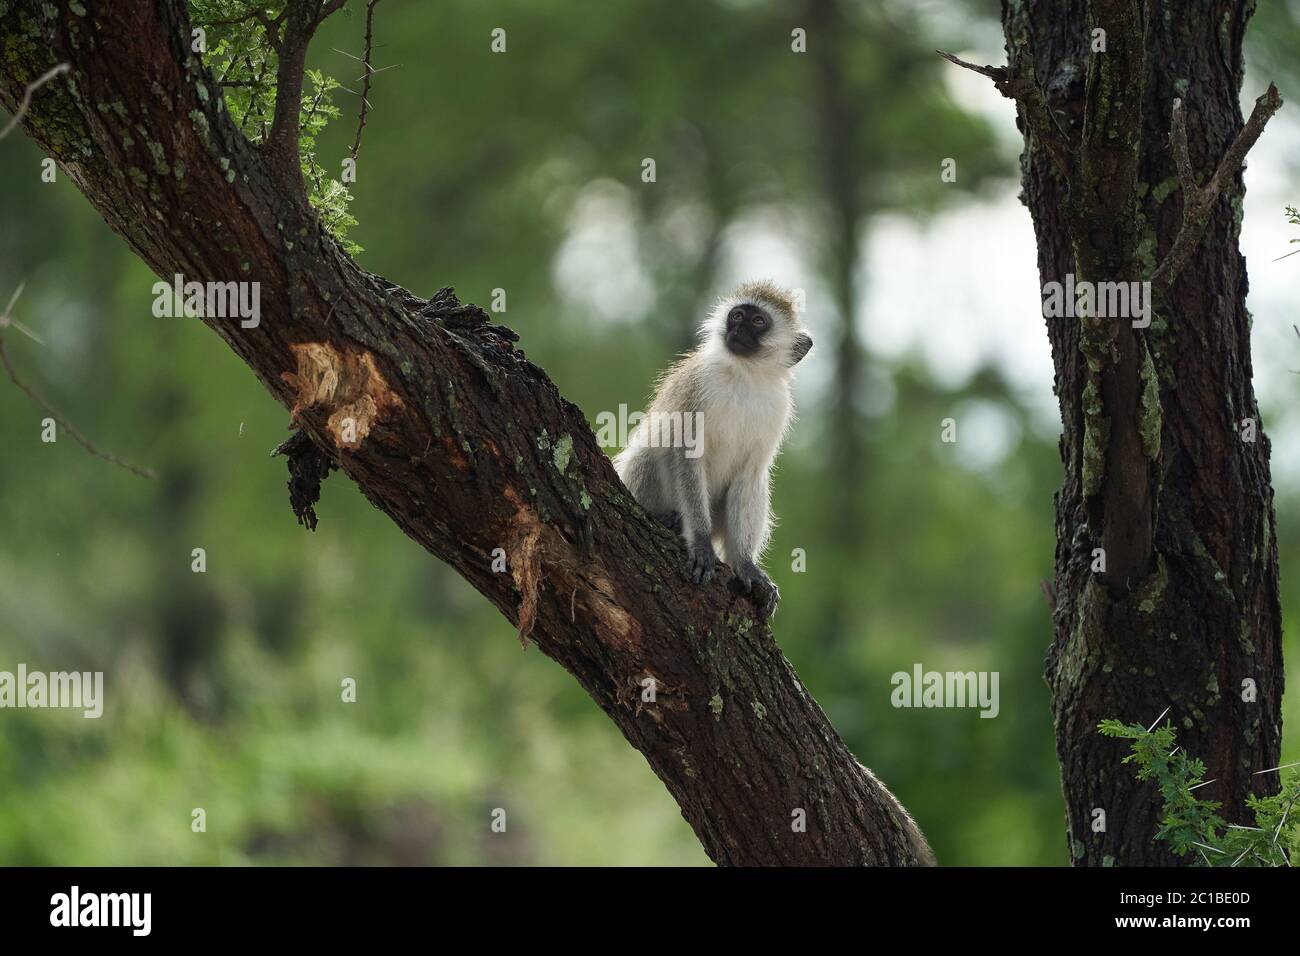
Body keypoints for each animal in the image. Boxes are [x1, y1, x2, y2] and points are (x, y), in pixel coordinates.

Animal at [614, 280, 812, 619]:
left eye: (758, 321)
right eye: (737, 315)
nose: (738, 329)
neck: (746, 375)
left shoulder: (778, 407)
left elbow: (750, 475)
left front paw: (745, 565)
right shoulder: (698, 385)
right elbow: (686, 454)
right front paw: (701, 543)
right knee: (651, 452)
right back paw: (667, 518)